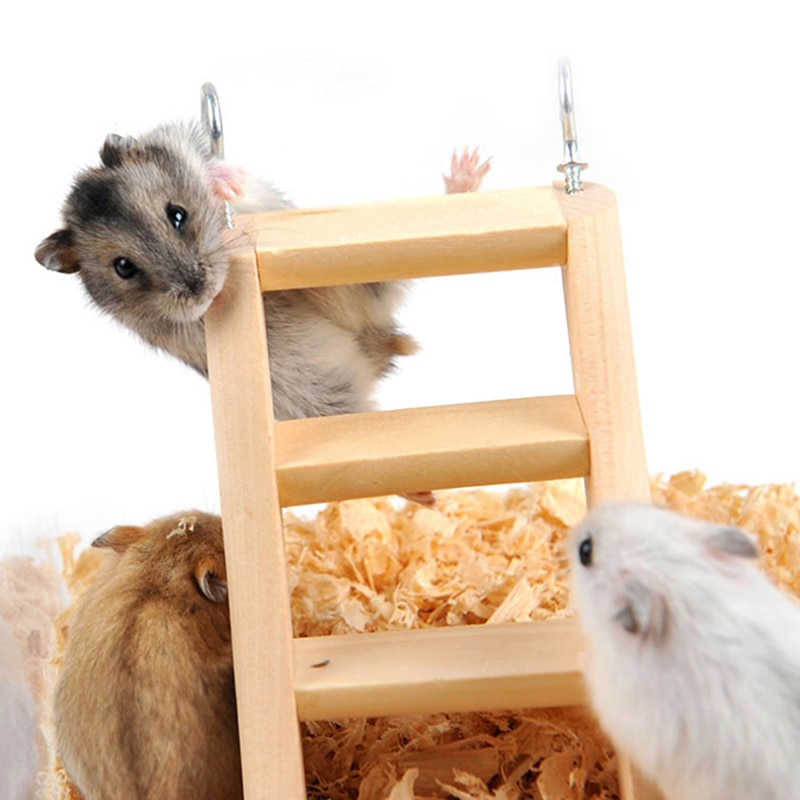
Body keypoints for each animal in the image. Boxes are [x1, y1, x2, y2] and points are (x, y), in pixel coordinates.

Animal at [34, 122, 418, 421]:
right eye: (124, 268)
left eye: (177, 214)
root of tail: (382, 351)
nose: (201, 289)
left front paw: (228, 183)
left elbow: (230, 181)